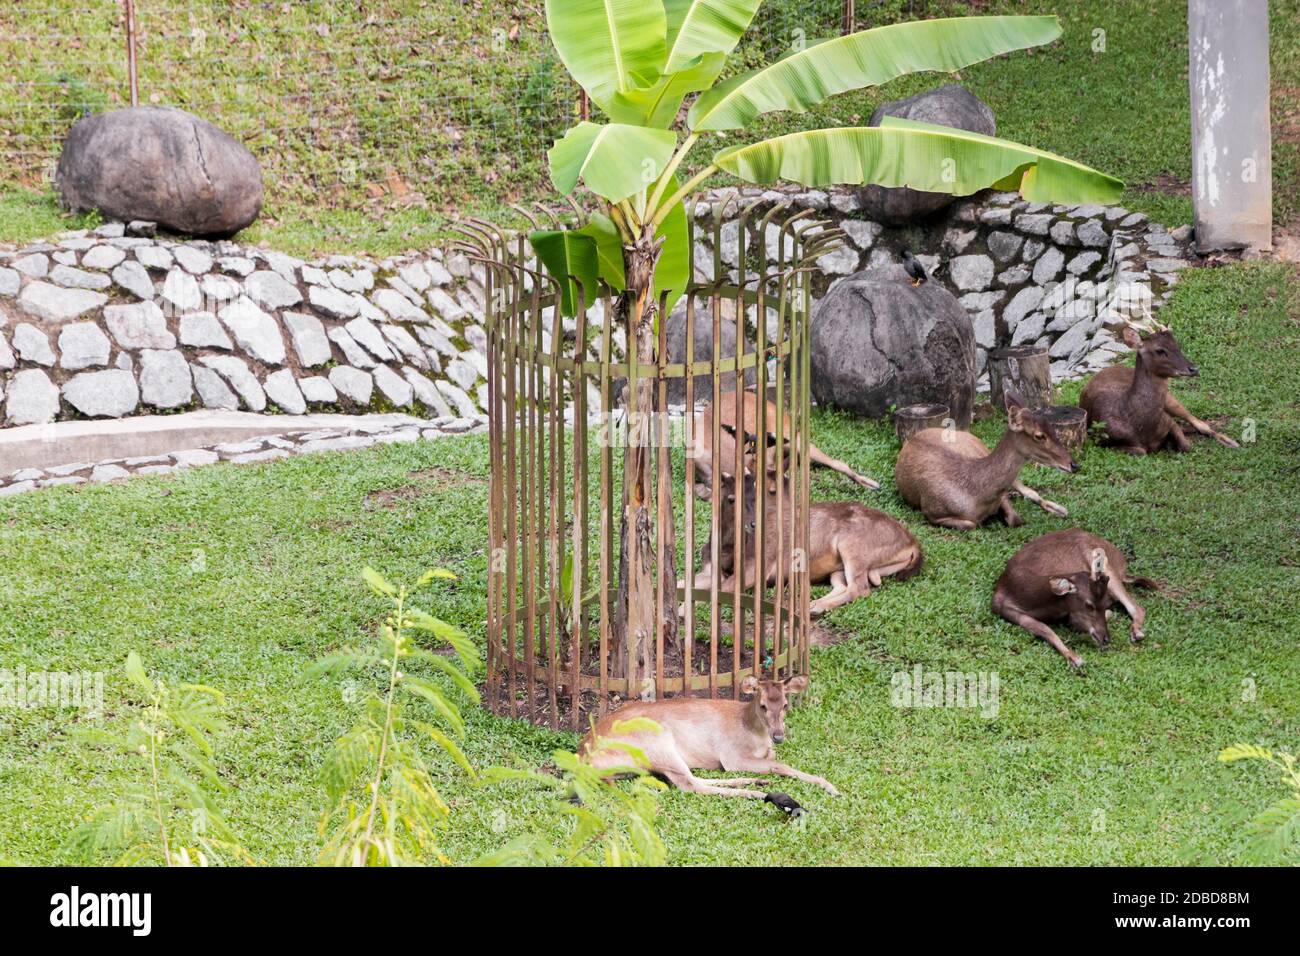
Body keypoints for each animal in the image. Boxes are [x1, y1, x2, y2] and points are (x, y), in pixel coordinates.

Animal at [578, 674, 839, 798]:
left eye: (785, 704)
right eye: (763, 705)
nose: (778, 736)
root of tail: (584, 758)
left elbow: (774, 759)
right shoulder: (731, 756)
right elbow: (780, 765)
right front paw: (831, 786)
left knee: (692, 778)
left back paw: (757, 782)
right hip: (656, 743)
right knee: (690, 785)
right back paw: (757, 792)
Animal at [894, 390, 1078, 530]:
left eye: (1052, 428)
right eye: (1039, 435)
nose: (1074, 464)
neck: (977, 496)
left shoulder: (1001, 497)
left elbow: (1015, 519)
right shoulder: (931, 510)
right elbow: (972, 524)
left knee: (1029, 491)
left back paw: (1060, 509)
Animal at [991, 529, 1156, 671]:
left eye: (1103, 604)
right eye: (1089, 605)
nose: (1106, 639)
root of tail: (1122, 564)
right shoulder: (1007, 610)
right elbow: (1045, 629)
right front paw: (1075, 658)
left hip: (1109, 571)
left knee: (1137, 607)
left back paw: (1137, 633)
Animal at [1079, 324, 1240, 454]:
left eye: (1178, 346)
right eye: (1160, 350)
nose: (1194, 369)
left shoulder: (1168, 420)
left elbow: (1186, 445)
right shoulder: (1104, 438)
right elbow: (1141, 451)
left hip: (1171, 399)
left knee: (1200, 424)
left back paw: (1231, 442)